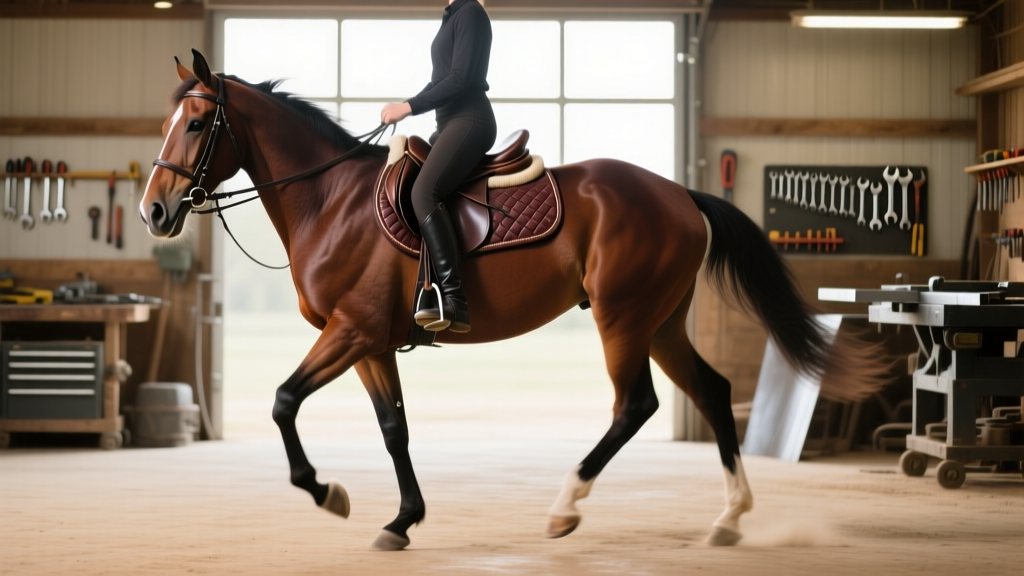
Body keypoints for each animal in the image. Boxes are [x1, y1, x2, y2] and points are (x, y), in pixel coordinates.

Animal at [141, 50, 887, 551]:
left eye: (198, 123)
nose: (154, 211)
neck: (331, 200)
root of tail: (680, 193)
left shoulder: (349, 332)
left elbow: (283, 401)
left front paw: (330, 494)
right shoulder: (371, 342)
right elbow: (394, 429)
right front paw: (401, 520)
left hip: (623, 318)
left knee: (635, 405)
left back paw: (566, 508)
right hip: (661, 322)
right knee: (710, 389)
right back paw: (729, 518)